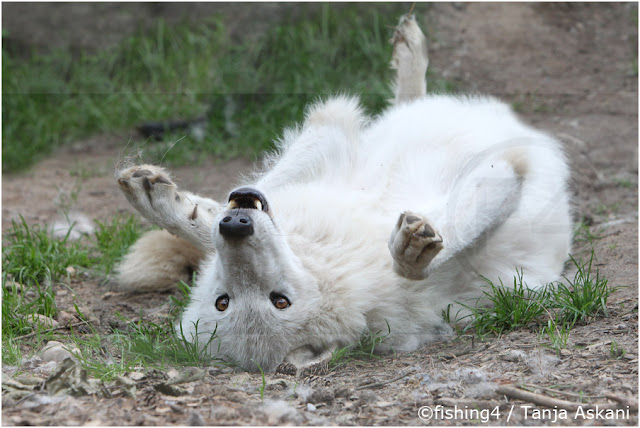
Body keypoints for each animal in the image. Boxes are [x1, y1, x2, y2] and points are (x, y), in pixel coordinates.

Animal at [115, 15, 572, 373]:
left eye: (279, 301)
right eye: (224, 302)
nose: (237, 226)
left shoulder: (335, 142)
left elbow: (258, 191)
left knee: (406, 102)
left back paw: (410, 46)